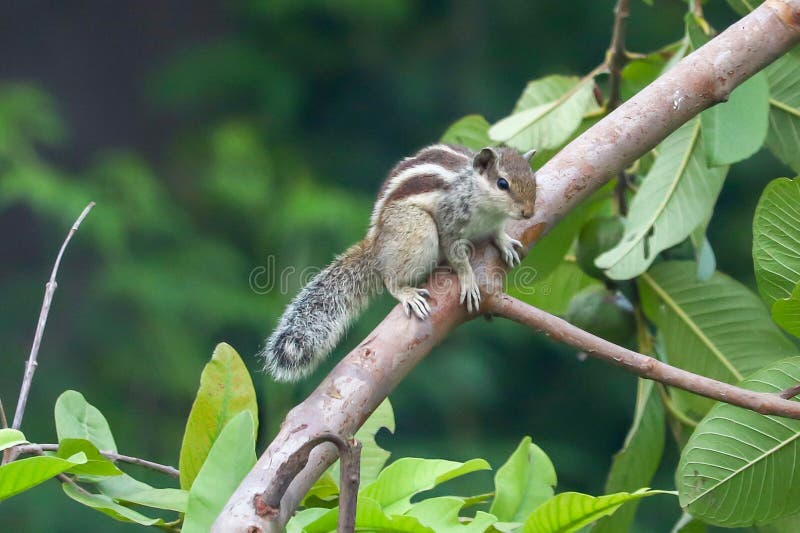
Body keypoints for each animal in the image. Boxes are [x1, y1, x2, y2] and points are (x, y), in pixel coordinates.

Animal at [261, 143, 537, 382]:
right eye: (502, 183)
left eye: (533, 180)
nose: (529, 213)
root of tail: (377, 245)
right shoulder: (449, 221)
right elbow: (457, 255)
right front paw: (468, 280)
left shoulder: (495, 221)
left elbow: (498, 231)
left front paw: (504, 241)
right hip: (417, 230)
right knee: (390, 278)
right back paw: (406, 292)